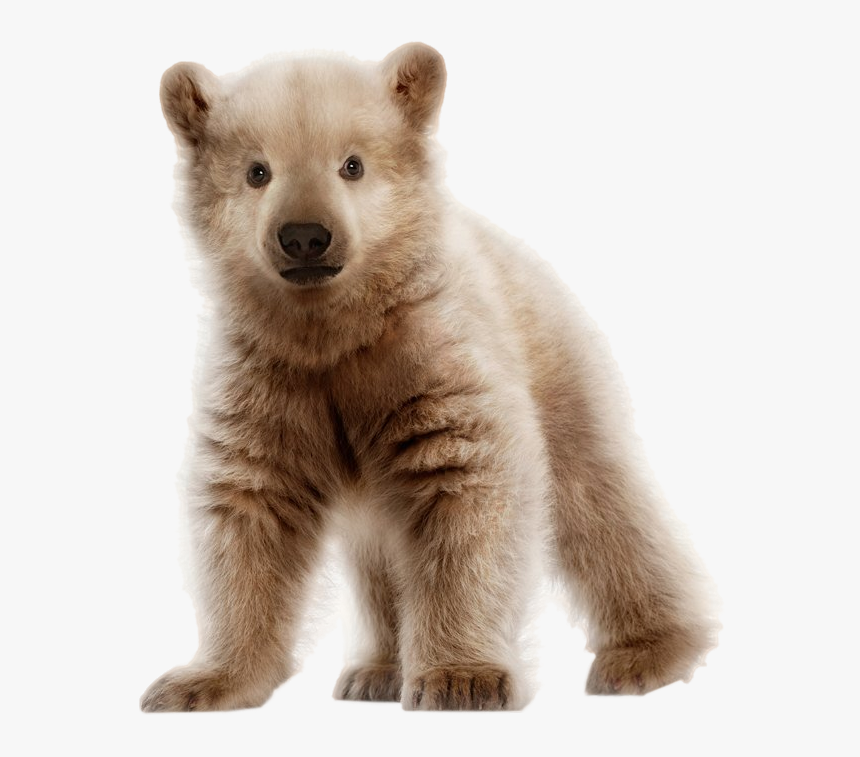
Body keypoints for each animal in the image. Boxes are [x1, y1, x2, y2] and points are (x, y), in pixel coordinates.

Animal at [140, 42, 718, 712]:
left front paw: (461, 678)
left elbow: (465, 488)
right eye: (258, 171)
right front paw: (196, 683)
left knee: (600, 498)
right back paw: (374, 671)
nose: (306, 237)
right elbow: (248, 508)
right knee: (378, 546)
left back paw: (646, 655)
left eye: (353, 165)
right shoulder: (268, 377)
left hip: (554, 358)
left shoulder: (428, 354)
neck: (334, 333)